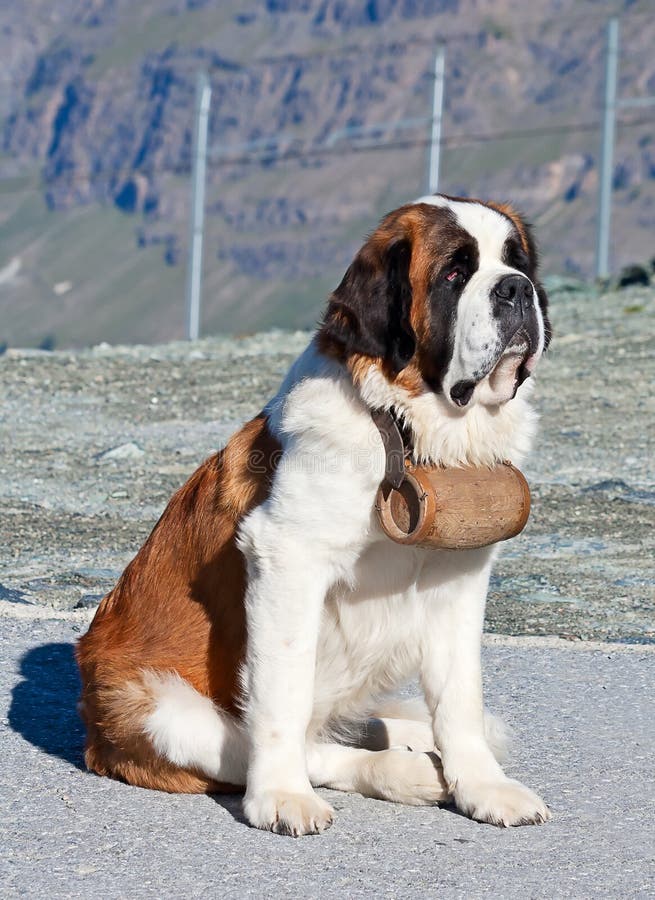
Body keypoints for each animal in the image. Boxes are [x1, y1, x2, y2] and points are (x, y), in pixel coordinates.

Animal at [77, 193, 552, 832]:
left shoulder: (458, 579)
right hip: (161, 713)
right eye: (455, 273)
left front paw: (483, 786)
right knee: (293, 742)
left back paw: (407, 742)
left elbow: (461, 698)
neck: (404, 431)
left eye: (516, 261)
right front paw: (281, 796)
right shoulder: (286, 558)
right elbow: (283, 693)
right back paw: (403, 771)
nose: (517, 289)